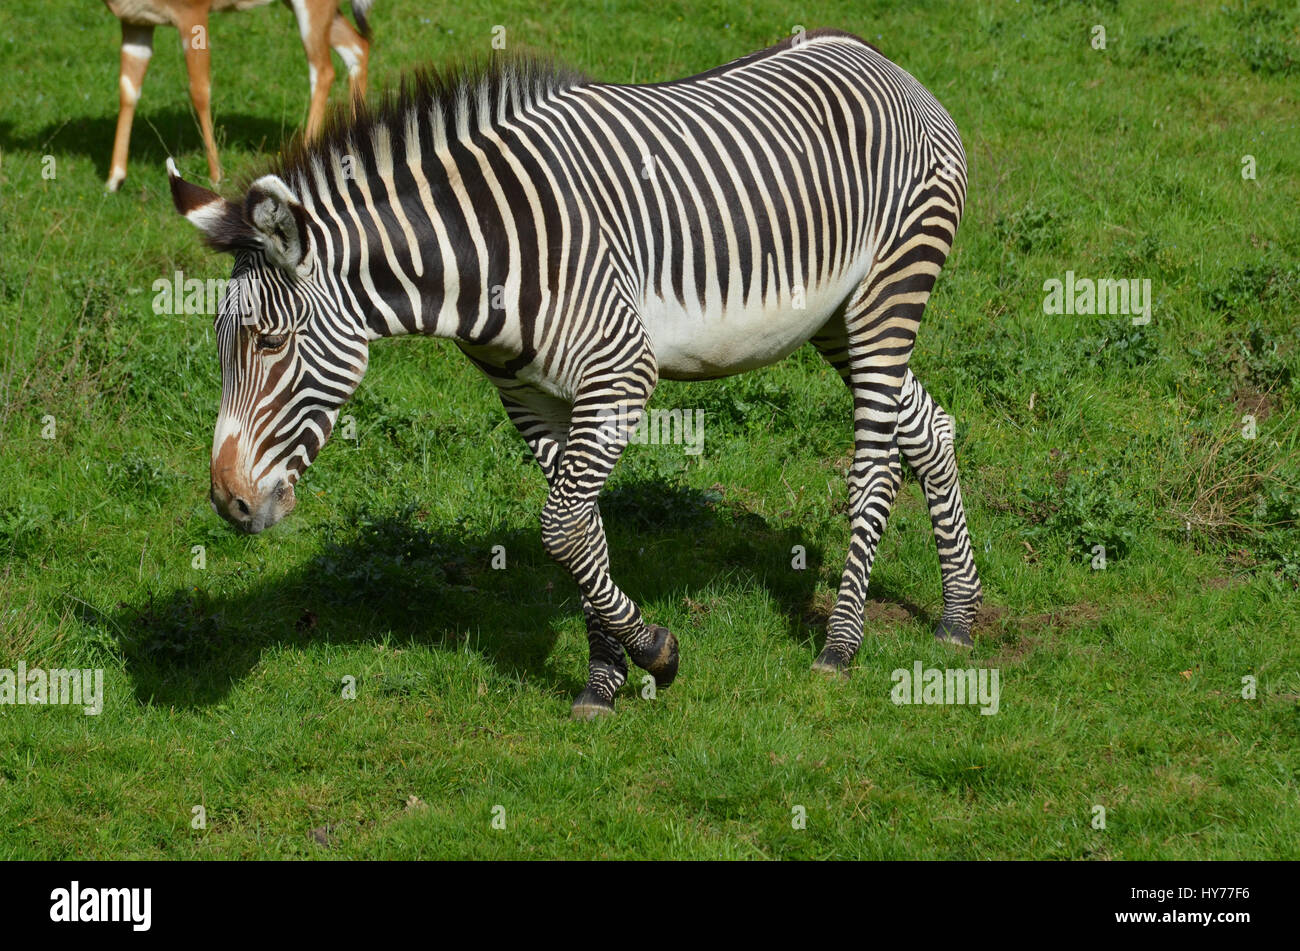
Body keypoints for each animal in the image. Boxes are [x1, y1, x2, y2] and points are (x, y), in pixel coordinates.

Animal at [165, 28, 983, 718]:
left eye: (271, 343)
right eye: (221, 343)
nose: (227, 503)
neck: (483, 252)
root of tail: (884, 62)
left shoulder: (621, 370)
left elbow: (561, 526)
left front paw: (657, 653)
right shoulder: (527, 393)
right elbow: (581, 528)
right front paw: (604, 678)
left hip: (888, 292)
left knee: (875, 464)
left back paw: (841, 645)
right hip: (835, 320)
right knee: (929, 426)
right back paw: (959, 615)